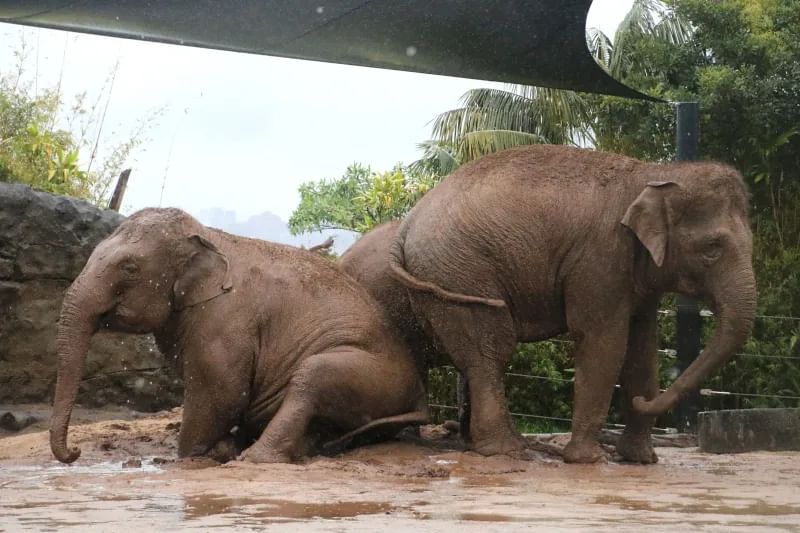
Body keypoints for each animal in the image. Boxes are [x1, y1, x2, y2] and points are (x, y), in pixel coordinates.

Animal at [49, 207, 428, 464]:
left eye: (129, 267)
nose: (76, 451)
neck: (210, 236)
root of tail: (420, 396)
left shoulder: (225, 319)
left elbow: (222, 395)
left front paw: (194, 457)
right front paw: (218, 448)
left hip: (379, 376)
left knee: (313, 374)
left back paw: (255, 457)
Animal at [384, 144, 755, 464]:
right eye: (712, 249)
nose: (642, 402)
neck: (655, 174)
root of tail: (407, 224)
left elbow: (642, 352)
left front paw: (642, 459)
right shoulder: (600, 259)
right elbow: (603, 343)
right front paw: (588, 460)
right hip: (459, 273)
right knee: (490, 352)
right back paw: (506, 450)